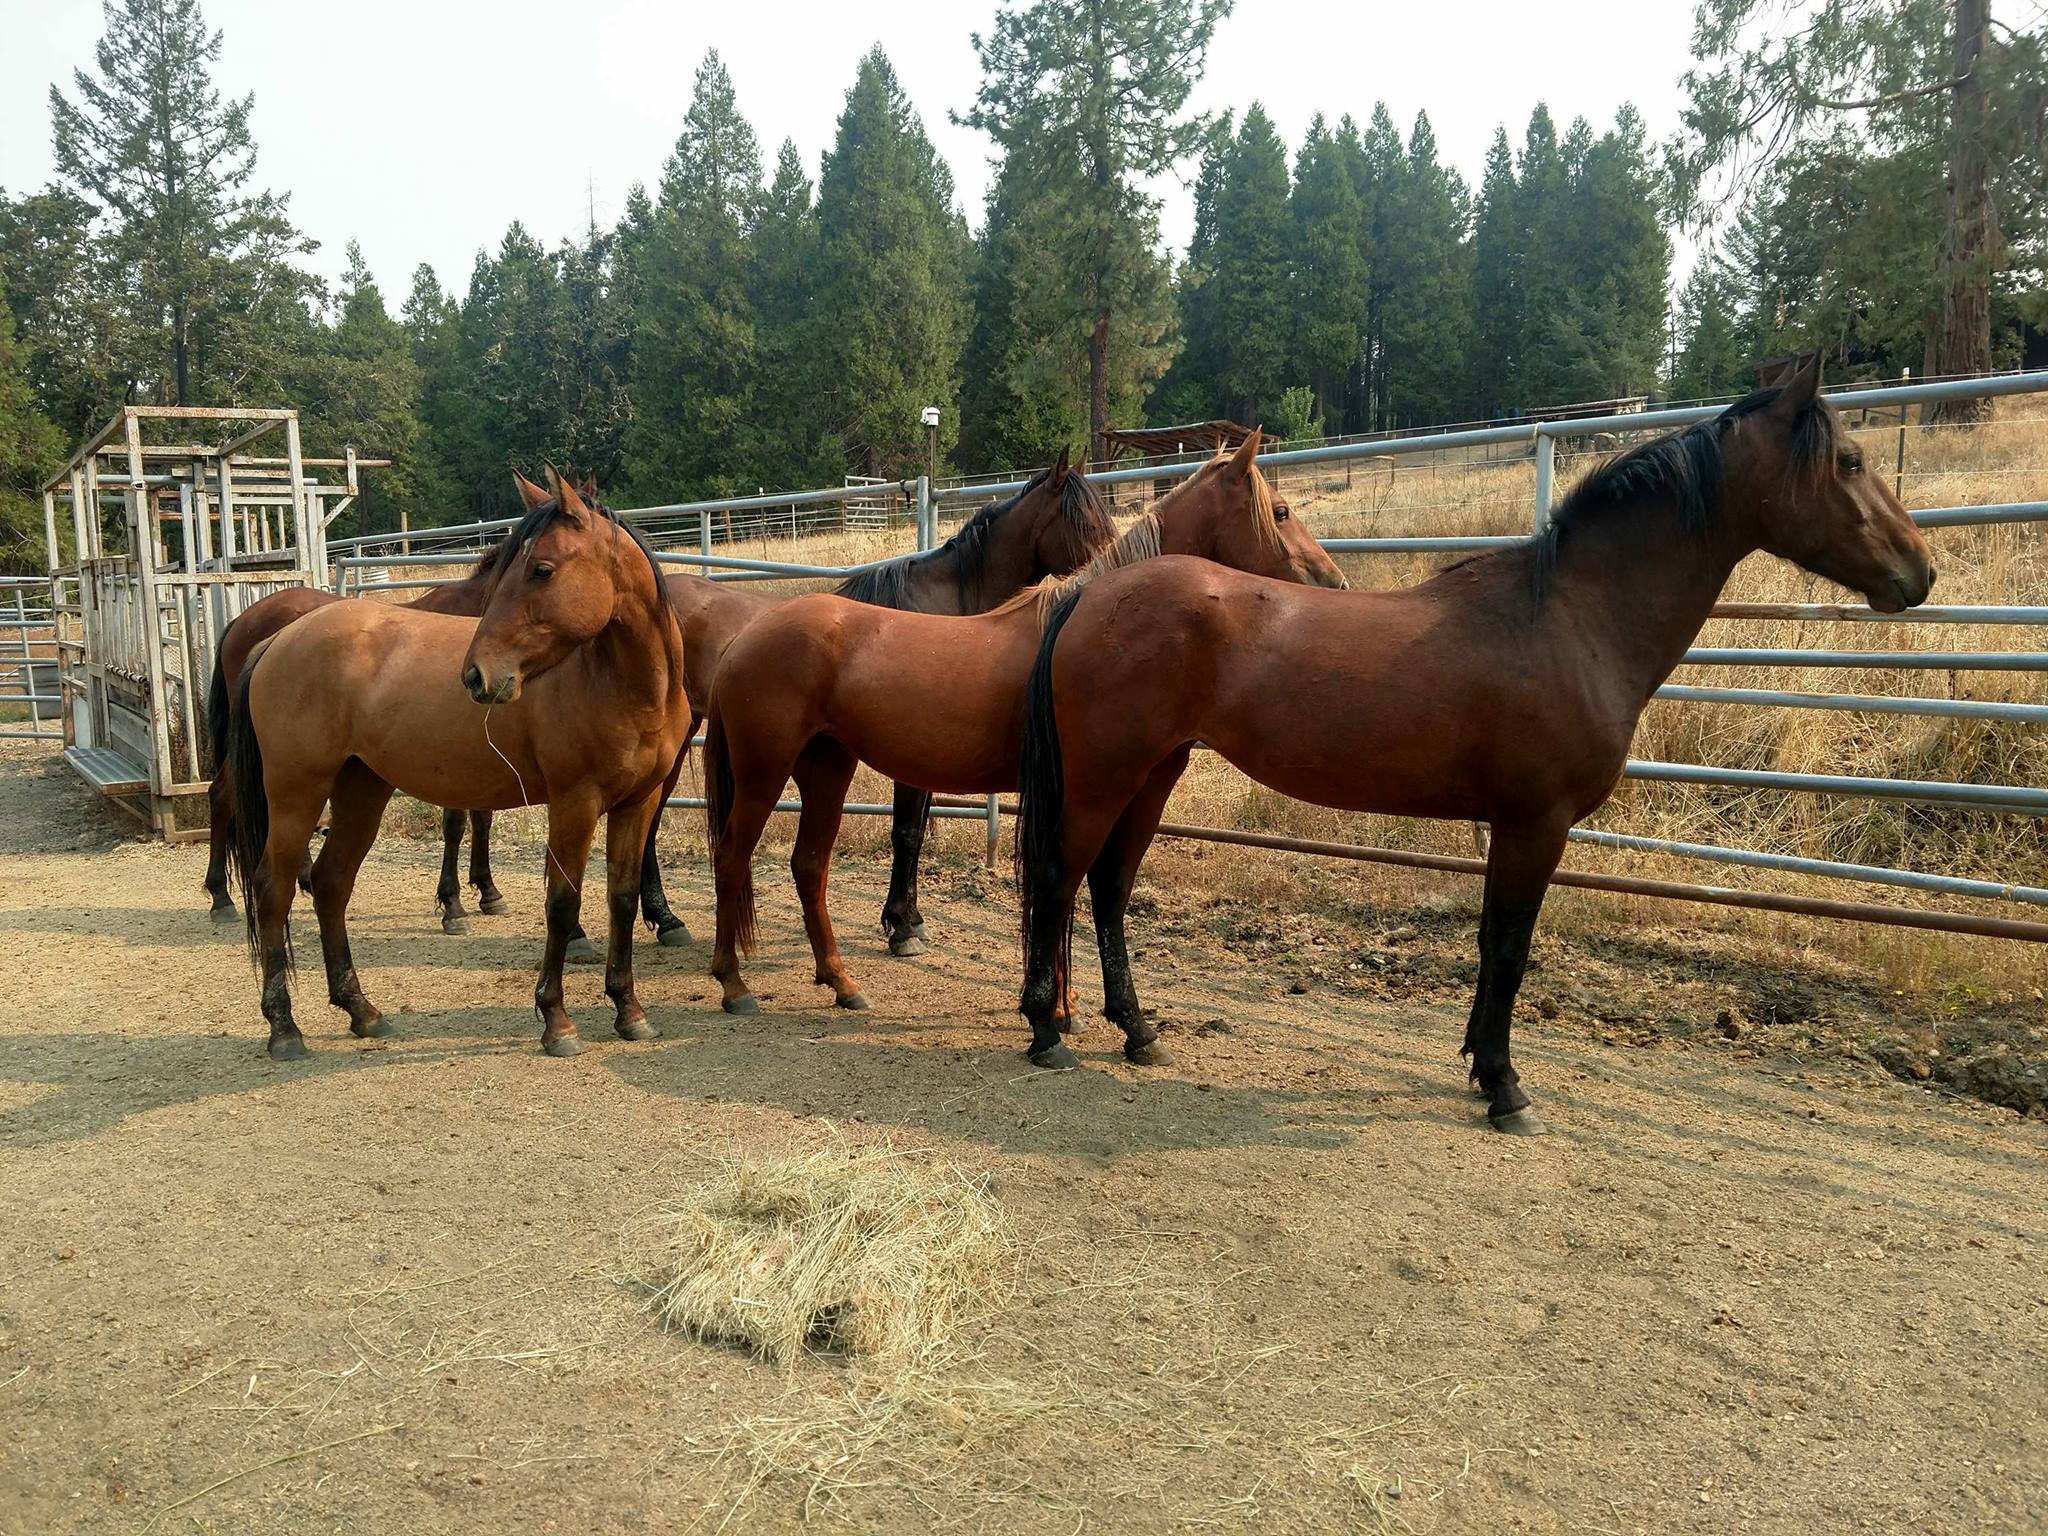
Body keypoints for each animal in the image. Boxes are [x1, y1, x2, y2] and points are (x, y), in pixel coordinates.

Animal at [225, 474, 690, 1058]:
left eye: (541, 570)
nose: (476, 675)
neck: (621, 685)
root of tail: (276, 639)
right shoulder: (575, 804)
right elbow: (562, 904)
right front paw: (556, 1020)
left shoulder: (638, 802)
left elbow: (622, 900)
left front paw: (629, 1011)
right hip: (296, 795)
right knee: (274, 890)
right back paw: (284, 1027)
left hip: (361, 790)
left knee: (331, 882)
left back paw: (361, 1011)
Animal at [624, 450, 1117, 955]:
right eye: (1083, 521)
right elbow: (907, 833)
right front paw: (901, 926)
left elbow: (914, 834)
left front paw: (911, 918)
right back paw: (661, 920)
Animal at [701, 430, 1350, 1019]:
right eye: (1281, 511)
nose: (1336, 583)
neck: (1090, 625)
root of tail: (744, 637)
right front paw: (1056, 1006)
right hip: (763, 773)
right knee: (731, 854)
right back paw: (734, 985)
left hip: (826, 769)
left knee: (809, 865)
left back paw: (841, 982)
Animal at [1011, 354, 1935, 1134]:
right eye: (1850, 461)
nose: (1919, 571)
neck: (1570, 618)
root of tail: (1089, 596)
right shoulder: (1537, 824)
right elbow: (1511, 949)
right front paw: (1504, 1085)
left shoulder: (1515, 827)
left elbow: (1494, 944)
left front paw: (1479, 1067)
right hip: (1105, 778)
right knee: (1060, 879)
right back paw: (1045, 1032)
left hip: (1154, 773)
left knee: (1108, 887)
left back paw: (1137, 1030)